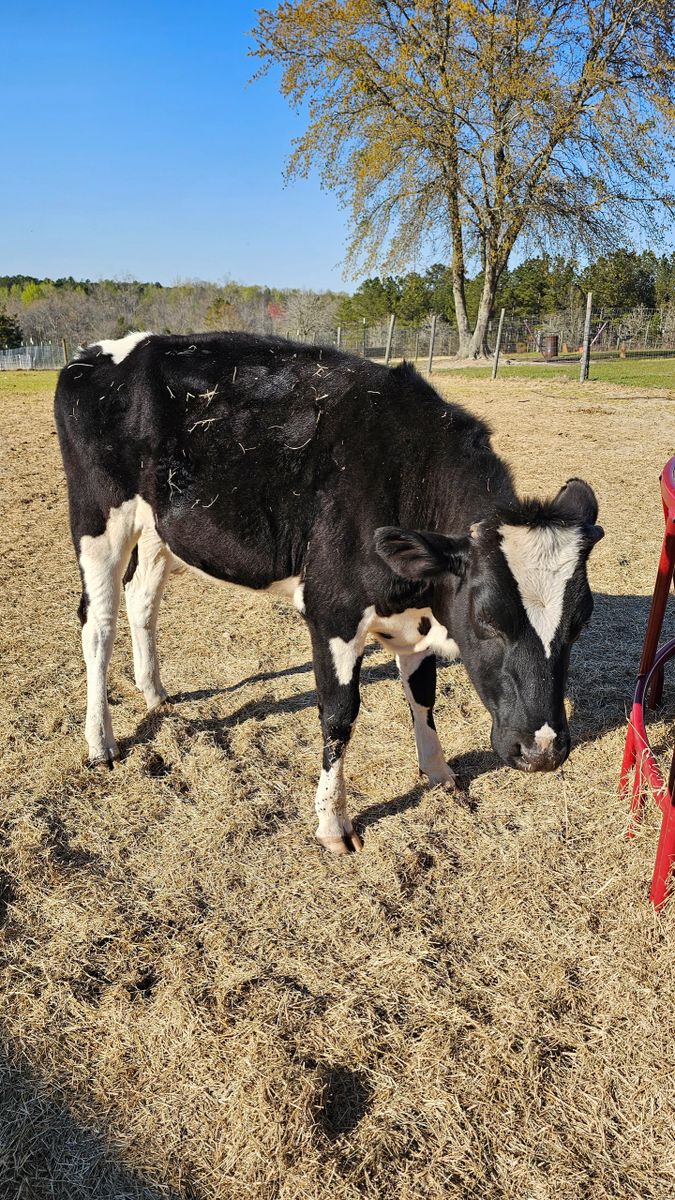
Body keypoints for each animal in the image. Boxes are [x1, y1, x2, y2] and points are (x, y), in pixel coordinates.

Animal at [54, 331, 603, 854]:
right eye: (488, 619)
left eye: (580, 623)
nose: (543, 750)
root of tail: (93, 353)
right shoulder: (331, 613)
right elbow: (339, 716)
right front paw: (333, 824)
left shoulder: (416, 618)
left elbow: (423, 695)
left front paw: (439, 772)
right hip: (97, 519)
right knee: (97, 624)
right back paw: (100, 742)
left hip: (158, 529)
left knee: (142, 600)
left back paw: (155, 695)